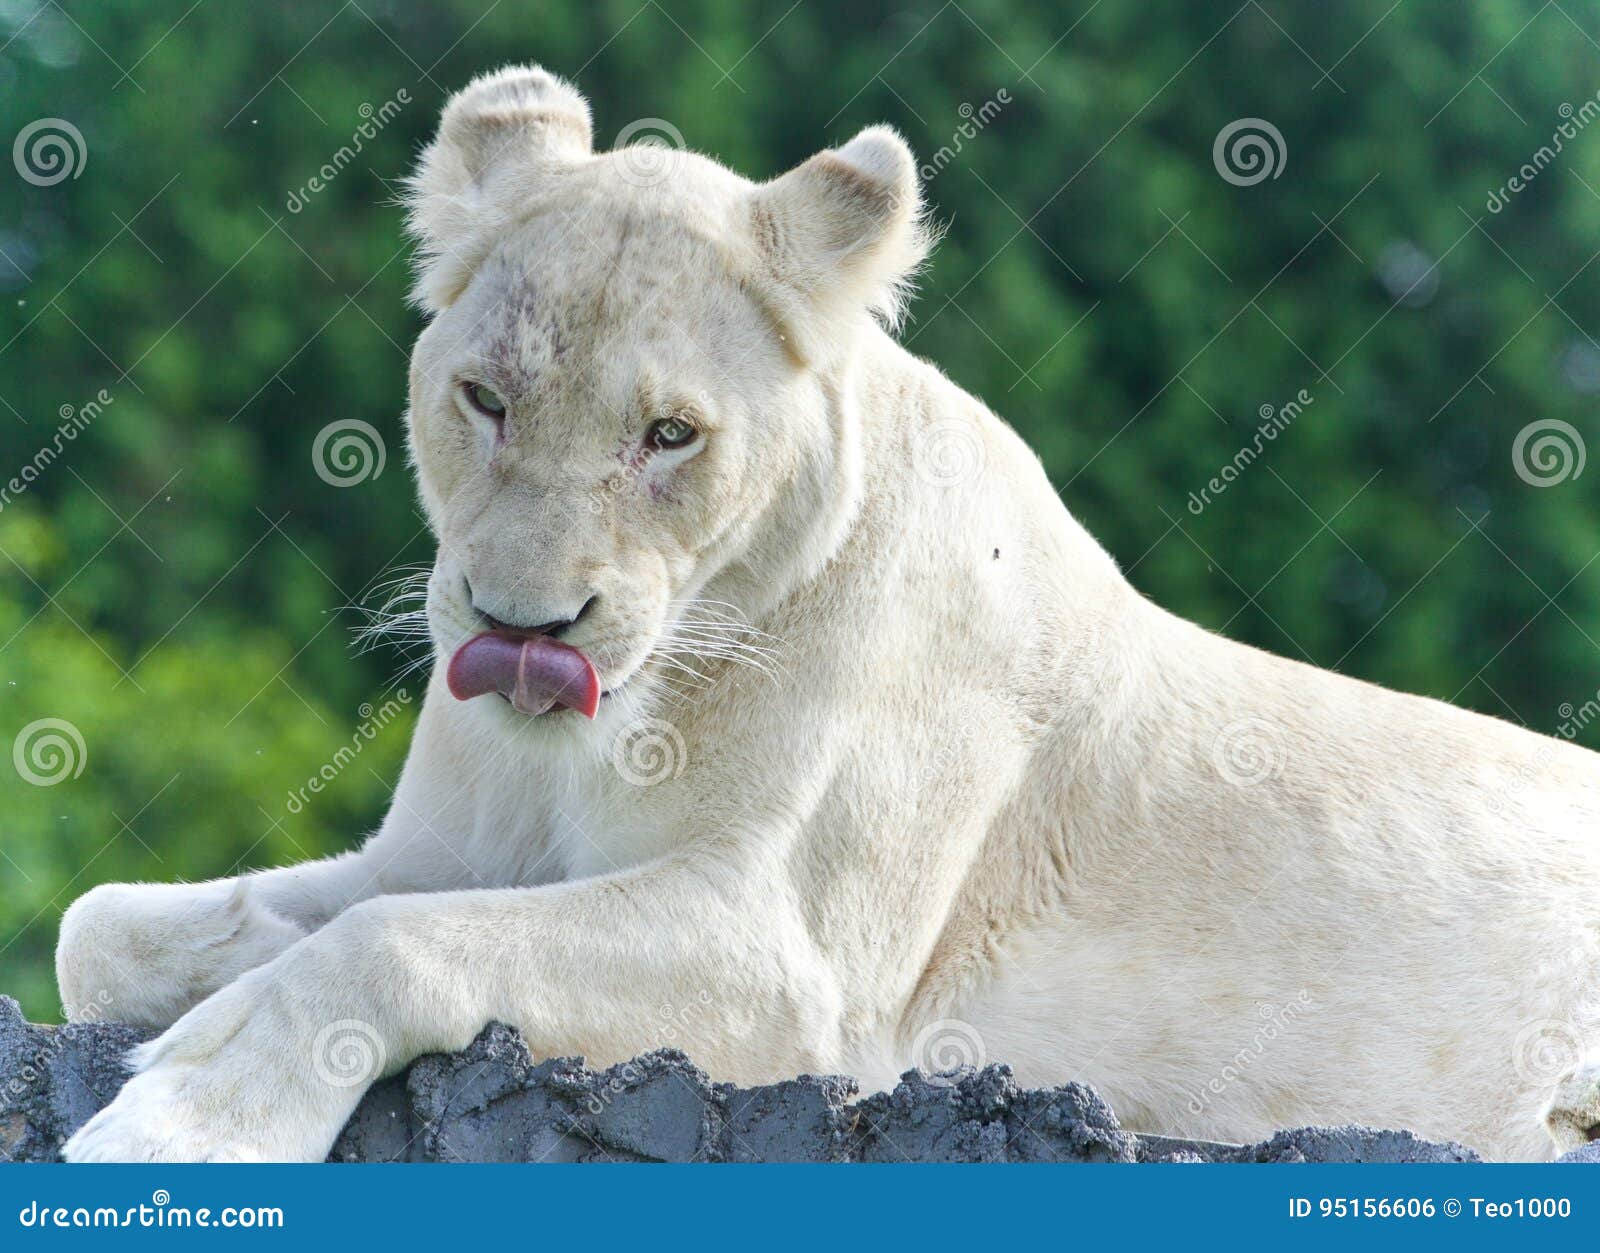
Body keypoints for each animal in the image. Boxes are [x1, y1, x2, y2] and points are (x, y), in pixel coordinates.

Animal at [57, 66, 1600, 1161]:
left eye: (669, 436)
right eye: (484, 398)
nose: (523, 626)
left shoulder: (795, 969)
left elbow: (394, 943)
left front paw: (183, 1122)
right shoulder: (439, 852)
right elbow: (103, 925)